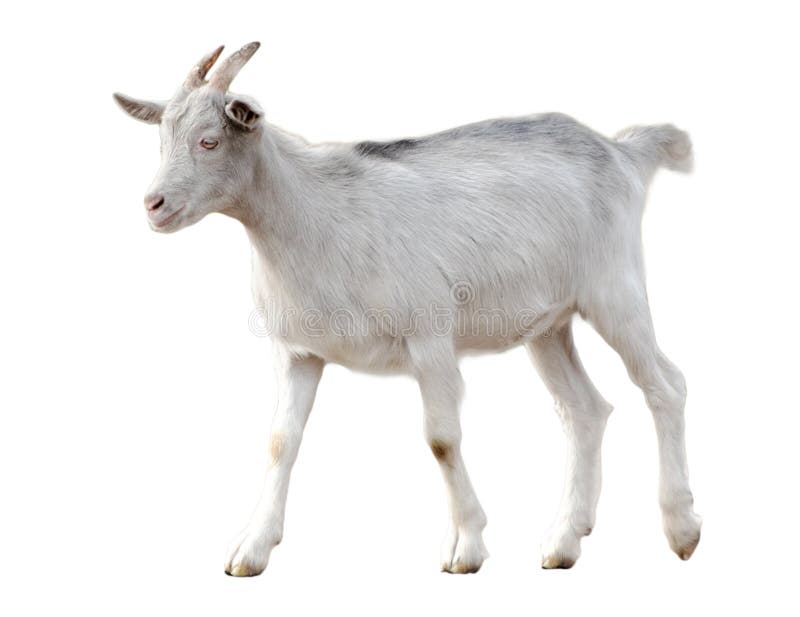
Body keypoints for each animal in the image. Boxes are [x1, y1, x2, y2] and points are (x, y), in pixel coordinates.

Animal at [114, 42, 701, 576]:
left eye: (209, 140)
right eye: (161, 140)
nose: (153, 205)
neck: (312, 211)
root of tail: (623, 151)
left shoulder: (430, 335)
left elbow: (441, 438)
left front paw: (465, 546)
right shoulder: (298, 351)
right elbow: (282, 441)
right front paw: (250, 549)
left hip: (614, 289)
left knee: (664, 385)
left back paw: (682, 529)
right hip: (547, 324)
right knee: (584, 410)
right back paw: (563, 541)